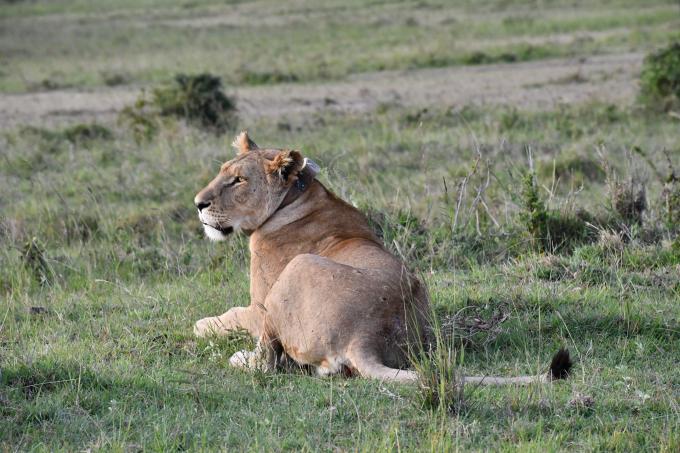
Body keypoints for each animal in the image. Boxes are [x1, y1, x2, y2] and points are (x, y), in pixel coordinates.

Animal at [193, 132, 572, 384]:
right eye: (222, 172)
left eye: (237, 180)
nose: (198, 203)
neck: (296, 196)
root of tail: (365, 335)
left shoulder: (259, 307)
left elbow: (233, 315)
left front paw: (202, 325)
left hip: (297, 271)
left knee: (269, 361)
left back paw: (240, 357)